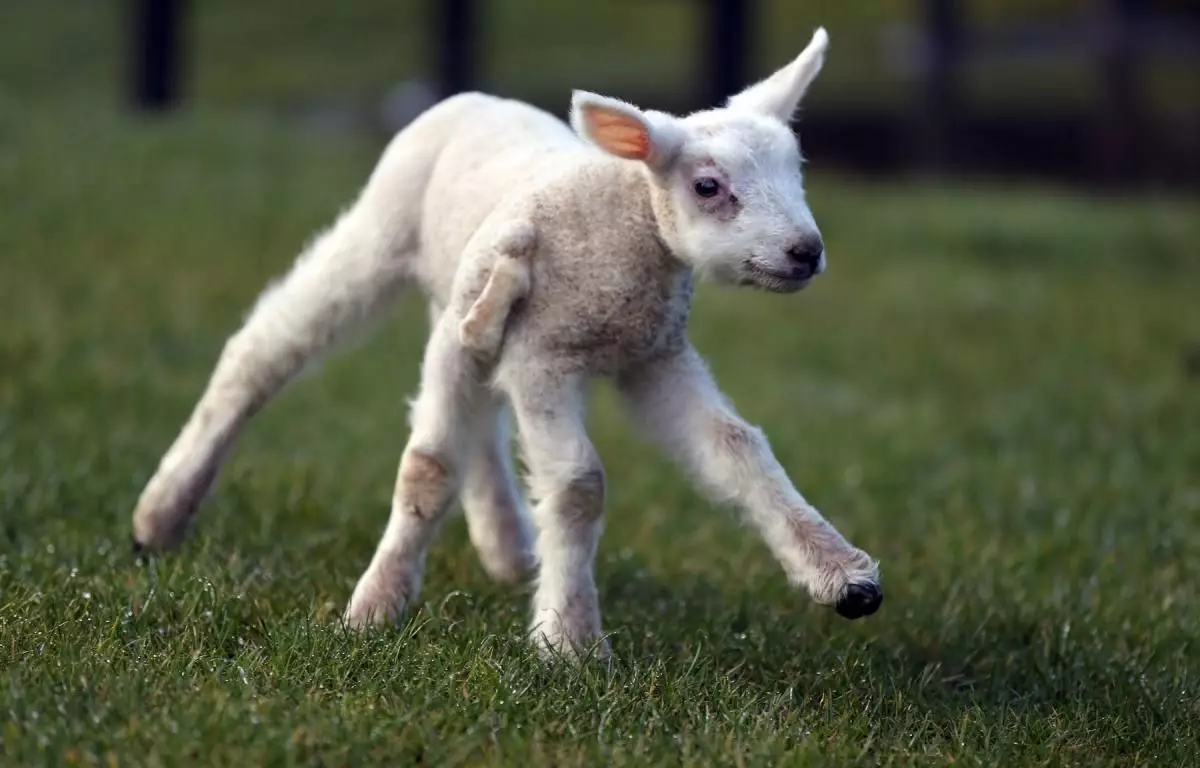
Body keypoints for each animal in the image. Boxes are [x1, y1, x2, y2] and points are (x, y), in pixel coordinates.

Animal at [131, 27, 883, 657]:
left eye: (799, 170)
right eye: (707, 187)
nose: (806, 252)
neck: (626, 230)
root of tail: (473, 95)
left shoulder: (650, 353)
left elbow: (735, 448)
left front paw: (843, 577)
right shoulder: (543, 354)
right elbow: (575, 484)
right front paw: (570, 643)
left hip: (467, 310)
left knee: (474, 421)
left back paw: (508, 545)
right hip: (389, 235)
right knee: (270, 350)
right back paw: (161, 514)